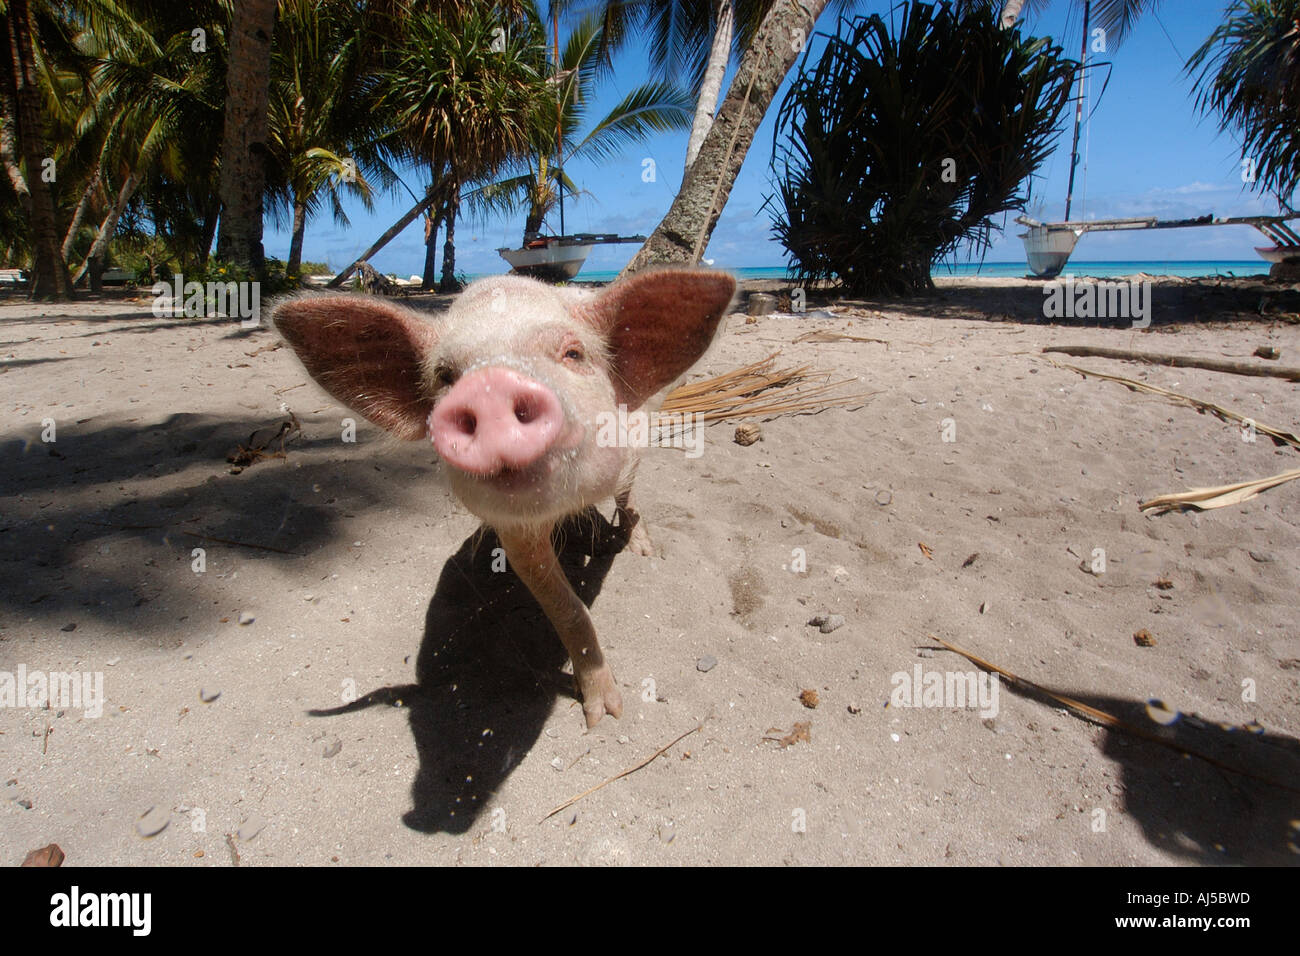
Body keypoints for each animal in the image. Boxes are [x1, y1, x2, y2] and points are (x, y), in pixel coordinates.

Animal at [272, 268, 737, 727]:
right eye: (445, 376)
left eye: (573, 353)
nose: (490, 384)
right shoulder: (515, 531)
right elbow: (567, 608)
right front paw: (600, 715)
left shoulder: (631, 444)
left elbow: (627, 498)